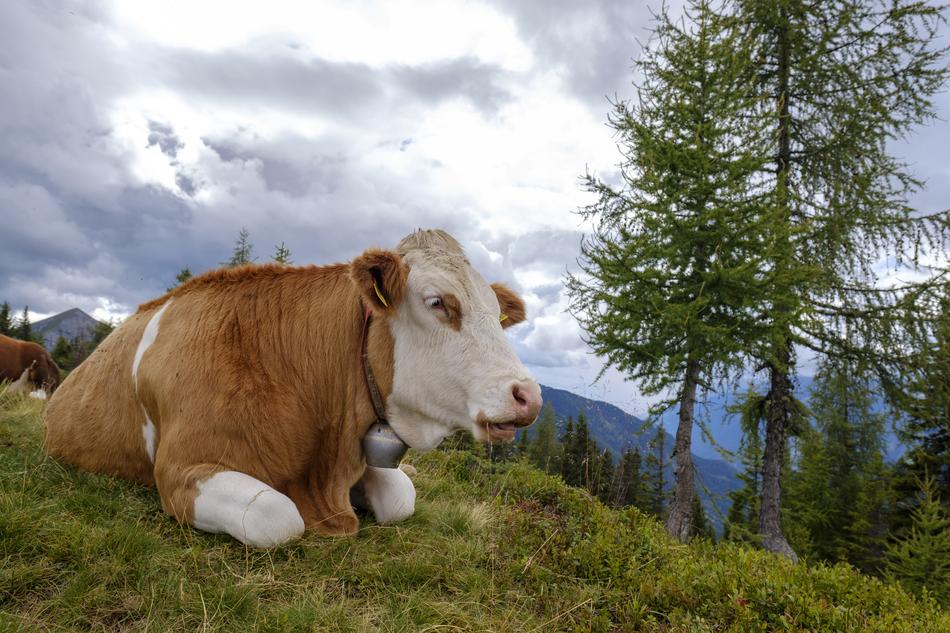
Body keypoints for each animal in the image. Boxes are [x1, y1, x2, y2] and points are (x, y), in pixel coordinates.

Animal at [44, 229, 542, 547]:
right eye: (438, 302)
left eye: (498, 314)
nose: (529, 396)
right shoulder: (181, 469)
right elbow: (276, 515)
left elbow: (402, 497)